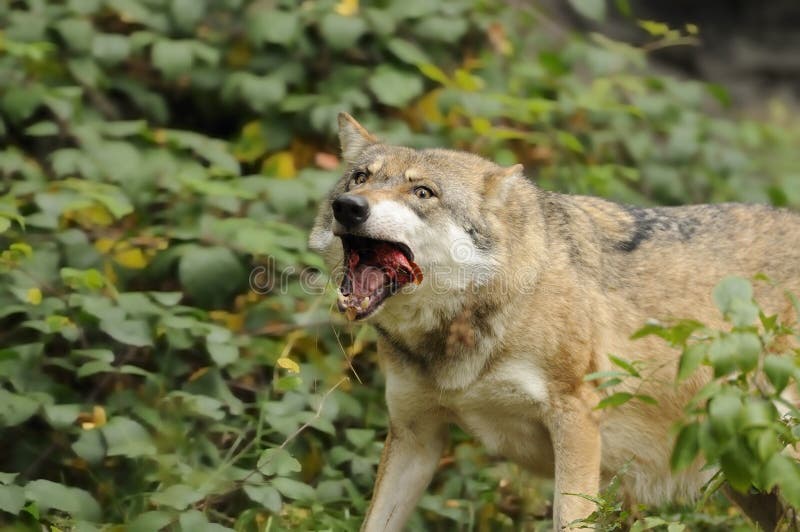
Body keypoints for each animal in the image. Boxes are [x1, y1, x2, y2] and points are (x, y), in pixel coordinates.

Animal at [308, 113, 800, 531]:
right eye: (361, 178)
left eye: (423, 192)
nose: (347, 206)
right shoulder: (416, 436)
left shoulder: (577, 420)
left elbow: (569, 517)